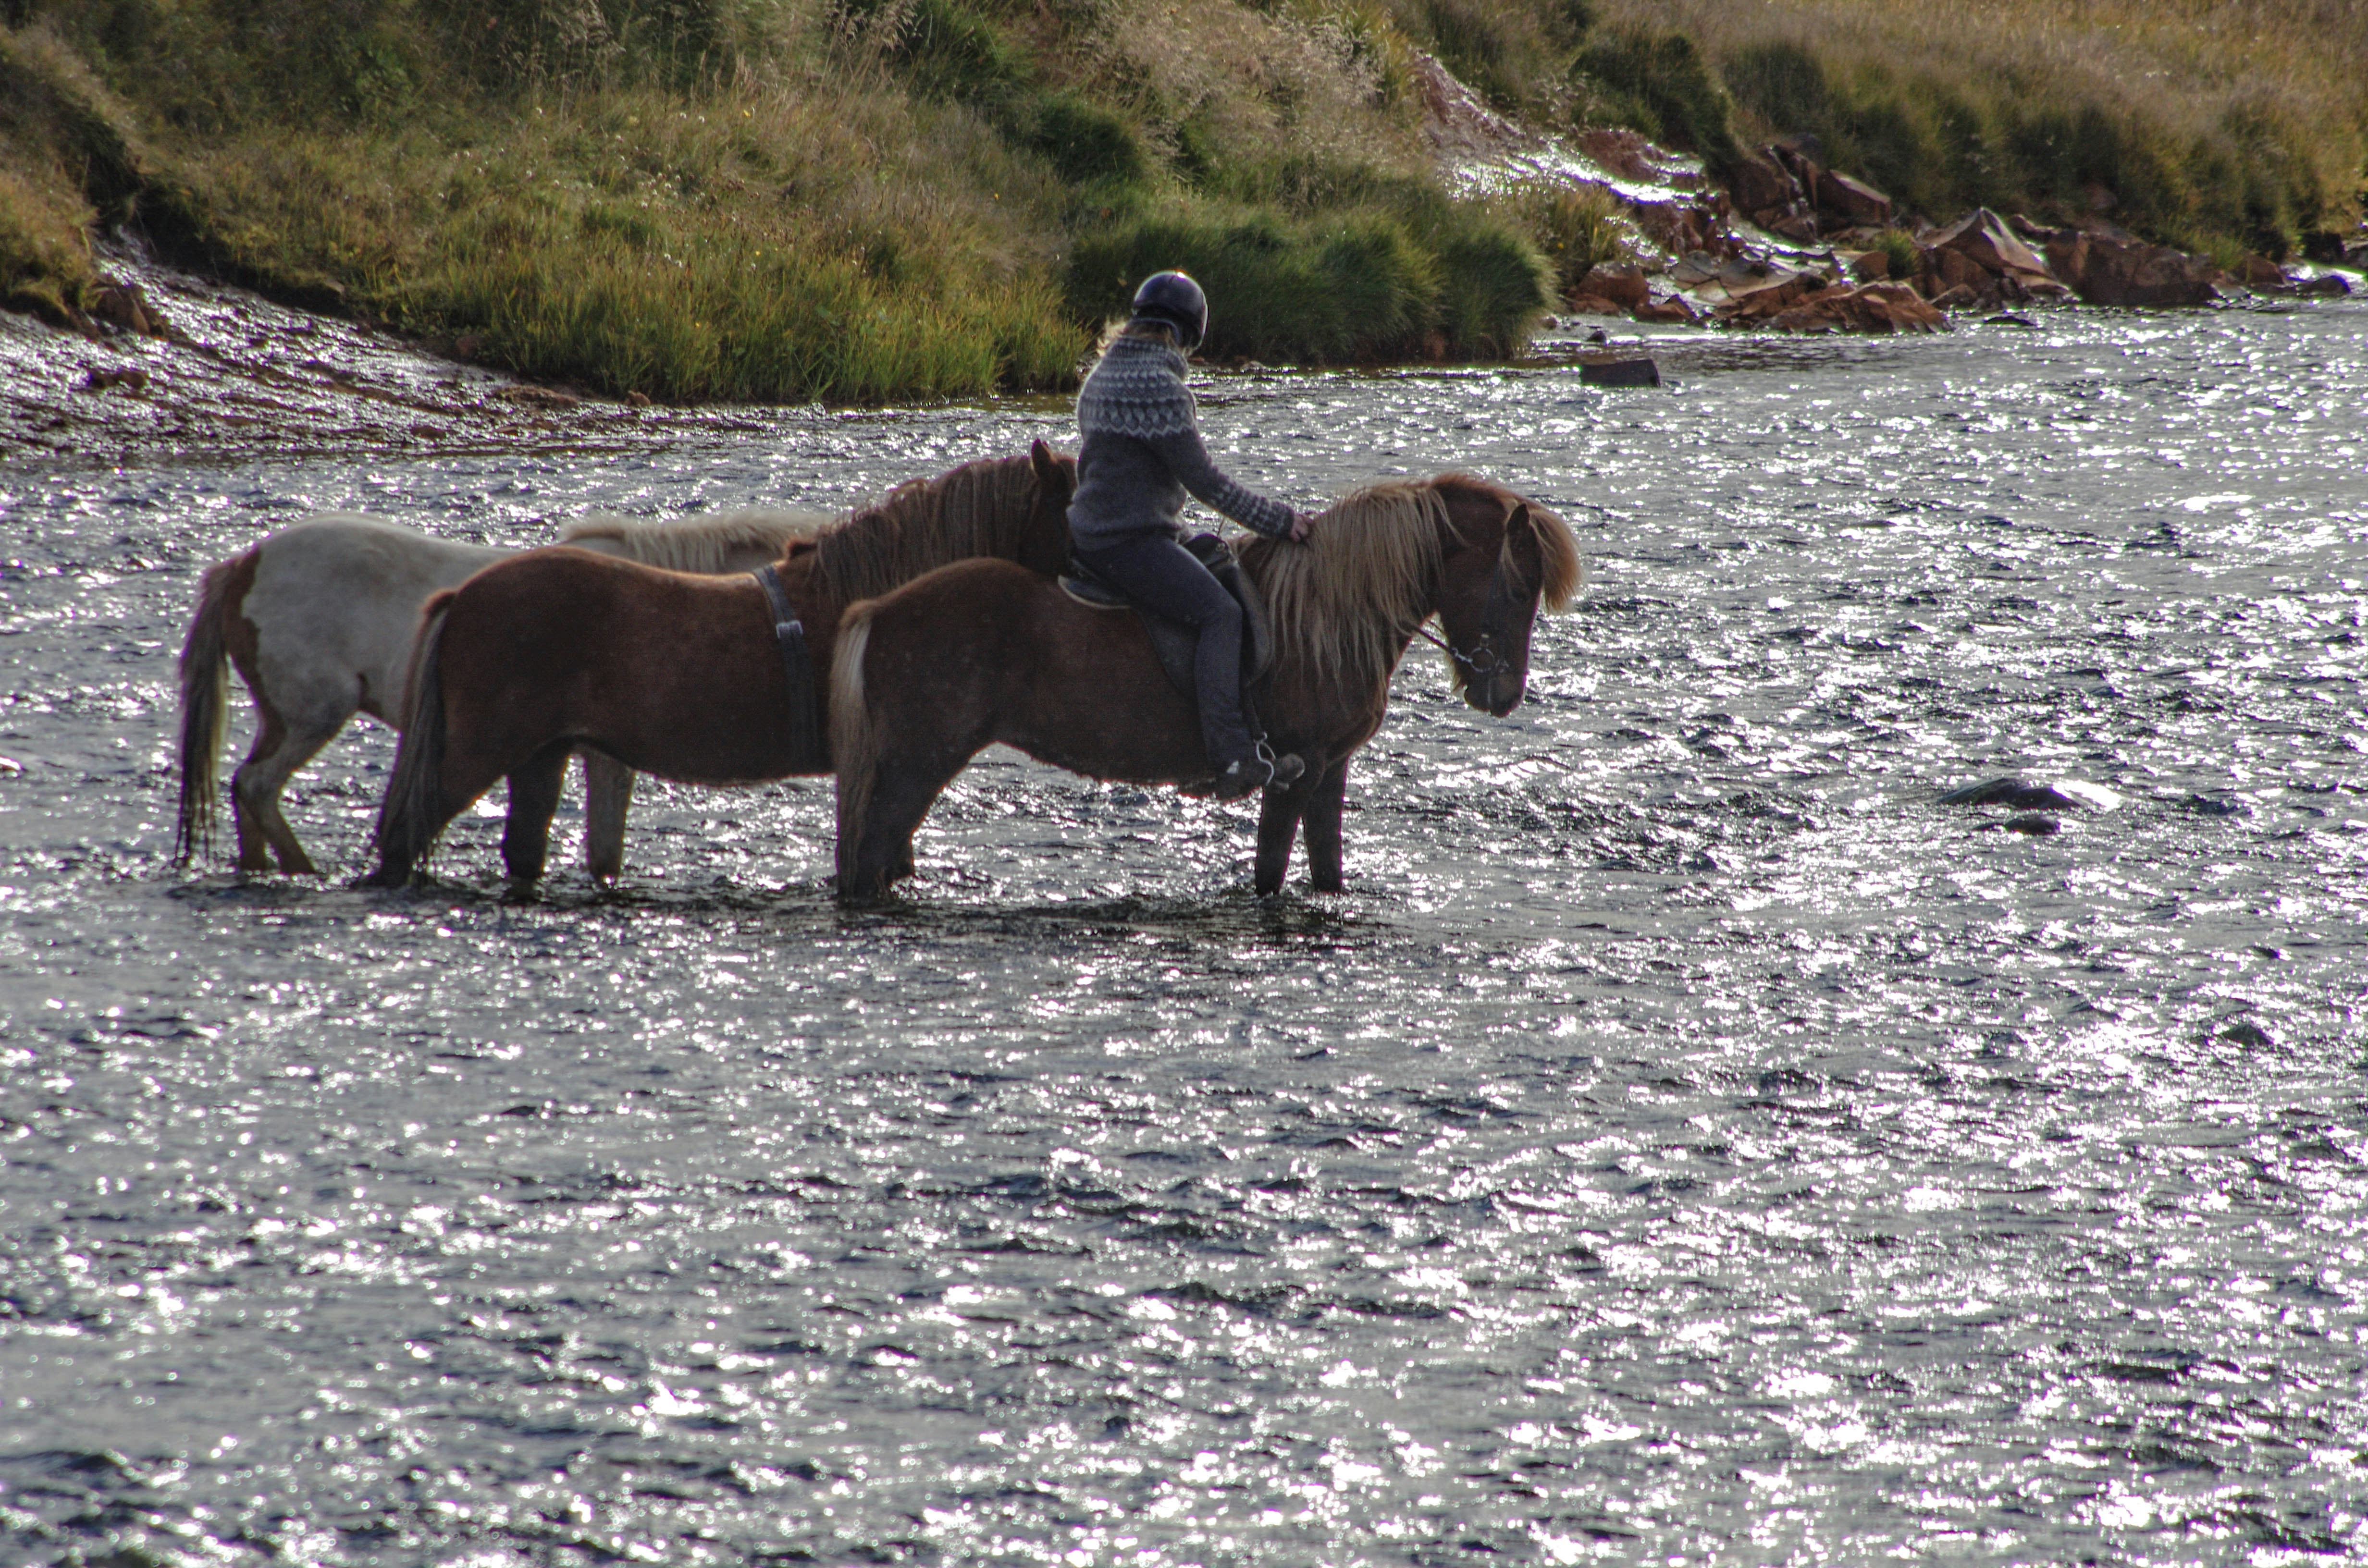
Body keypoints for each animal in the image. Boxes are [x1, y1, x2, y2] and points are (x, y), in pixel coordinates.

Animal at [176, 507, 827, 878]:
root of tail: (242, 565)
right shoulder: (607, 756)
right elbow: (603, 850)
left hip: (280, 717)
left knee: (248, 794)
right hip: (316, 715)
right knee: (259, 786)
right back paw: (306, 872)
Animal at [827, 472, 1582, 902]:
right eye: (1519, 588)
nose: (1504, 695)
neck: (1327, 613)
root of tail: (879, 610)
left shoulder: (1329, 771)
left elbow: (1326, 869)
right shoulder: (1295, 771)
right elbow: (1271, 873)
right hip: (917, 764)